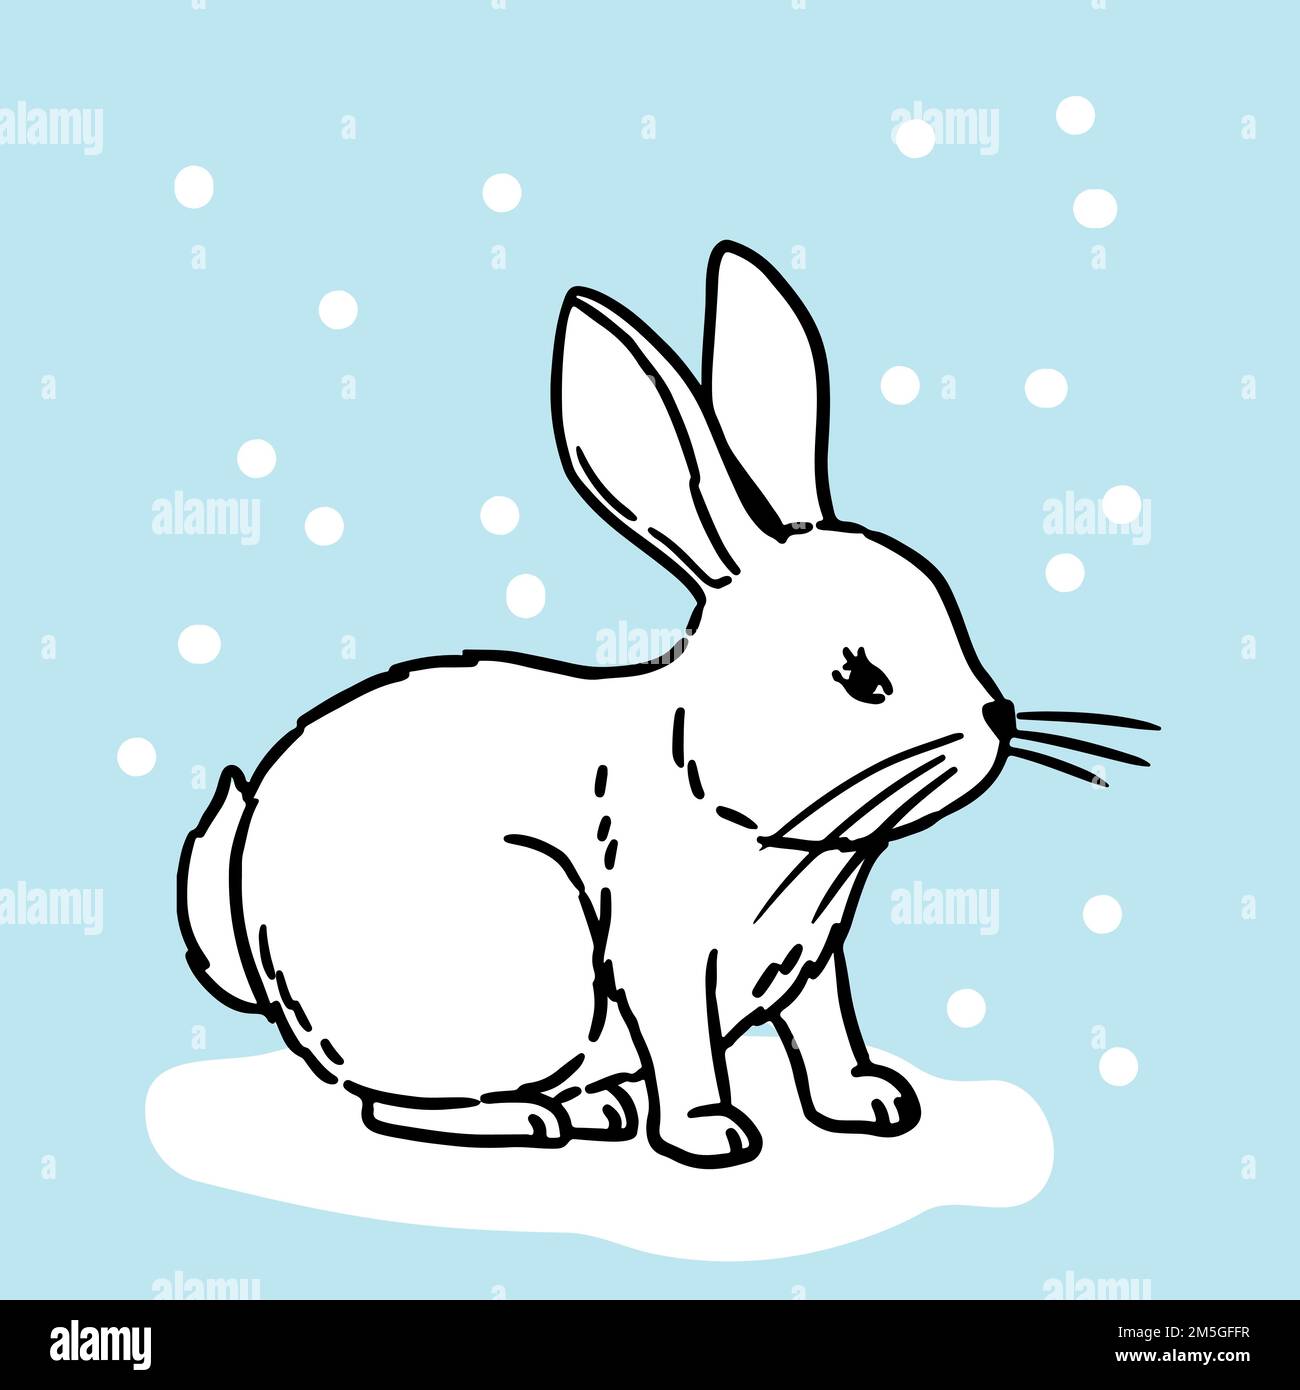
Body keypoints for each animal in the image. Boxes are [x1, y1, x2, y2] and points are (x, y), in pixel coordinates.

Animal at [178, 241, 1156, 1169]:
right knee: (397, 1104)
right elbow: (688, 1048)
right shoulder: (663, 957)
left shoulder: (816, 961)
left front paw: (871, 1102)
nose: (996, 718)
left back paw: (598, 1108)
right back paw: (532, 1118)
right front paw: (710, 1134)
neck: (727, 793)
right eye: (859, 676)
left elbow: (825, 1035)